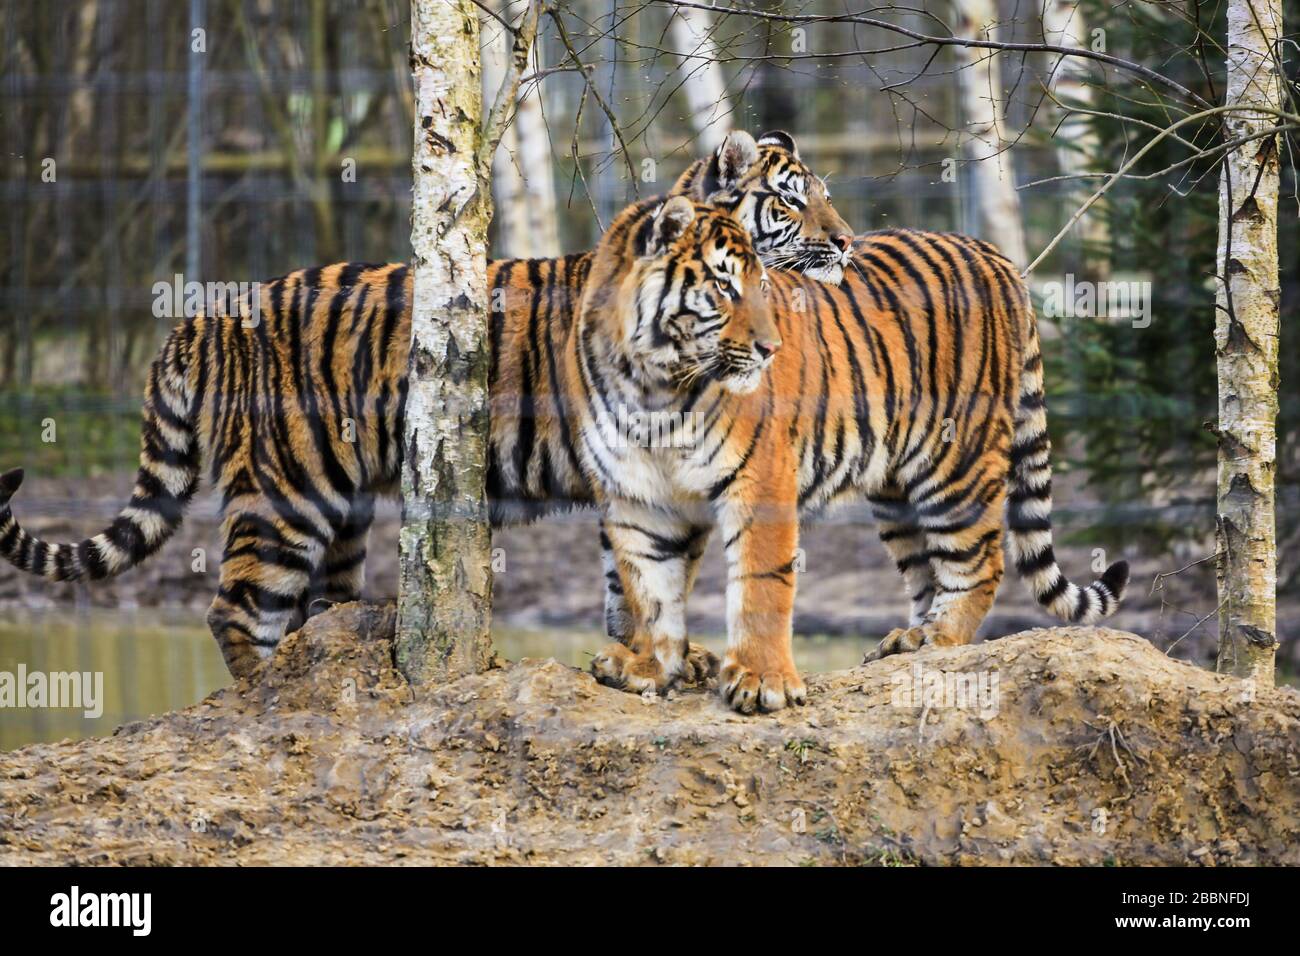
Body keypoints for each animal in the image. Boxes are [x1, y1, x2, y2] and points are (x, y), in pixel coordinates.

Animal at [0, 130, 853, 679]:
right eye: (790, 203)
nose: (846, 242)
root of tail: (204, 315)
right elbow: (652, 573)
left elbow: (630, 580)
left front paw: (640, 657)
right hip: (284, 494)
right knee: (237, 610)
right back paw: (261, 698)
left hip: (341, 510)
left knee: (314, 607)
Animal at [569, 195, 1129, 714]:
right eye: (725, 288)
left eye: (761, 287)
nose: (770, 348)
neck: (656, 387)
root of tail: (994, 254)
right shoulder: (637, 497)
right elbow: (650, 589)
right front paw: (648, 667)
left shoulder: (761, 479)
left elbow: (760, 586)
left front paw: (763, 682)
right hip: (896, 486)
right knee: (927, 570)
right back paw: (908, 641)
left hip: (956, 461)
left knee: (980, 562)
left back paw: (939, 639)